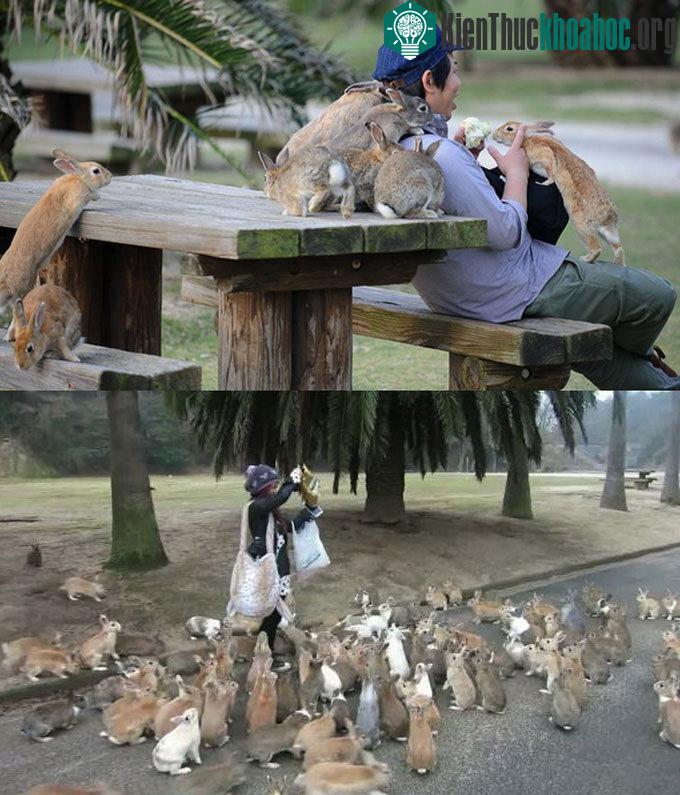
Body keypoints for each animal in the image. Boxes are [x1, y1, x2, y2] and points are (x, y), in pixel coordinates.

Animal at [492, 119, 624, 266]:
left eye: (509, 129)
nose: (494, 134)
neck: (526, 138)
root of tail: (608, 214)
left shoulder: (544, 155)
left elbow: (551, 174)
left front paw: (542, 184)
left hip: (581, 224)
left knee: (597, 248)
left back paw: (585, 259)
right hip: (605, 231)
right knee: (618, 248)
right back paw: (618, 264)